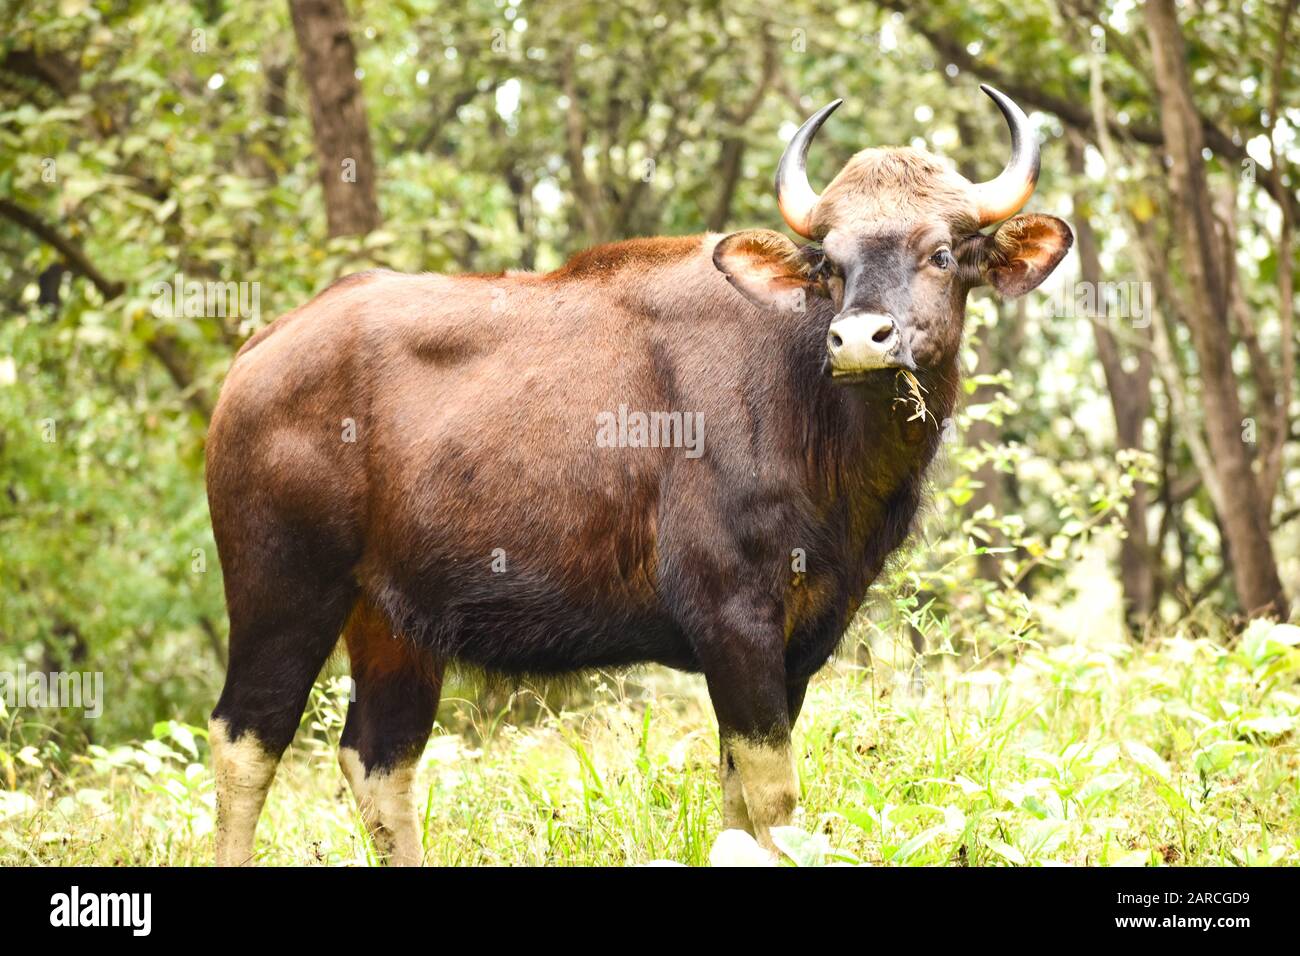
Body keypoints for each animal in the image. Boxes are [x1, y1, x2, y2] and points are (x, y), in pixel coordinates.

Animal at [206, 84, 1072, 865]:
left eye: (942, 254)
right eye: (831, 262)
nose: (860, 339)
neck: (809, 410)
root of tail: (255, 357)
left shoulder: (801, 637)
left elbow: (738, 803)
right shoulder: (732, 618)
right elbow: (774, 798)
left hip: (392, 620)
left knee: (379, 759)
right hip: (282, 590)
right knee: (246, 741)